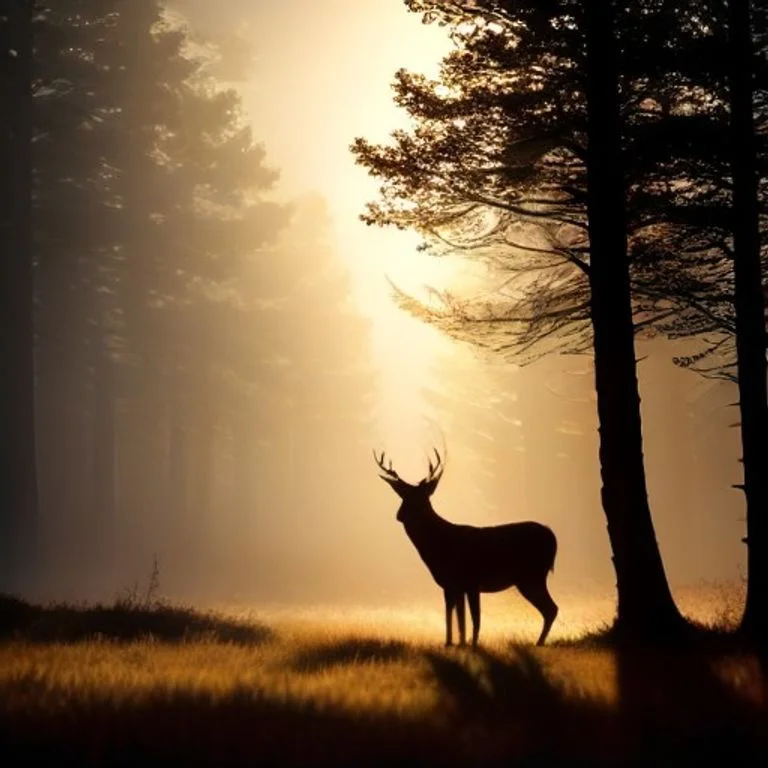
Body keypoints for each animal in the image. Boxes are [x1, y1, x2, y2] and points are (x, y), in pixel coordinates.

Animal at [375, 448, 558, 647]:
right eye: (403, 495)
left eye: (421, 497)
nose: (400, 515)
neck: (438, 546)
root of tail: (552, 537)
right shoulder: (453, 584)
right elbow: (457, 616)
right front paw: (454, 643)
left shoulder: (469, 580)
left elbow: (473, 617)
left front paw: (470, 644)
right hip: (531, 577)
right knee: (550, 609)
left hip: (531, 575)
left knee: (551, 609)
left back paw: (539, 643)